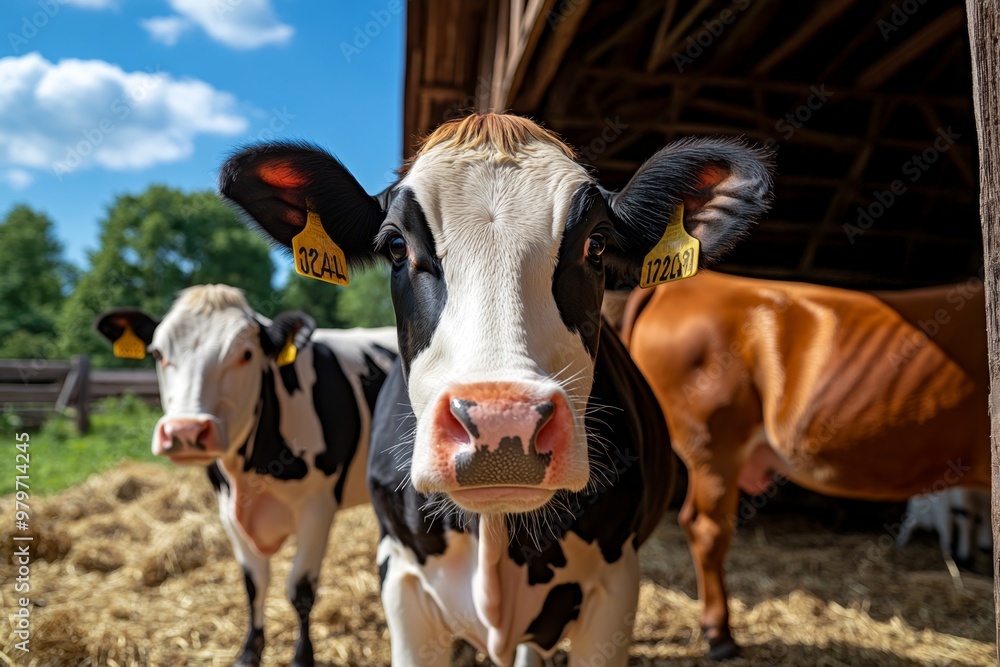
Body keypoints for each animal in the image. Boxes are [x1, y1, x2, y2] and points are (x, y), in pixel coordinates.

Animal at [94, 285, 397, 667]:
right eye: (158, 353)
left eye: (246, 354)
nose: (185, 431)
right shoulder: (227, 510)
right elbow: (254, 584)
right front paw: (249, 651)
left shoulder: (317, 509)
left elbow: (300, 589)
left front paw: (303, 657)